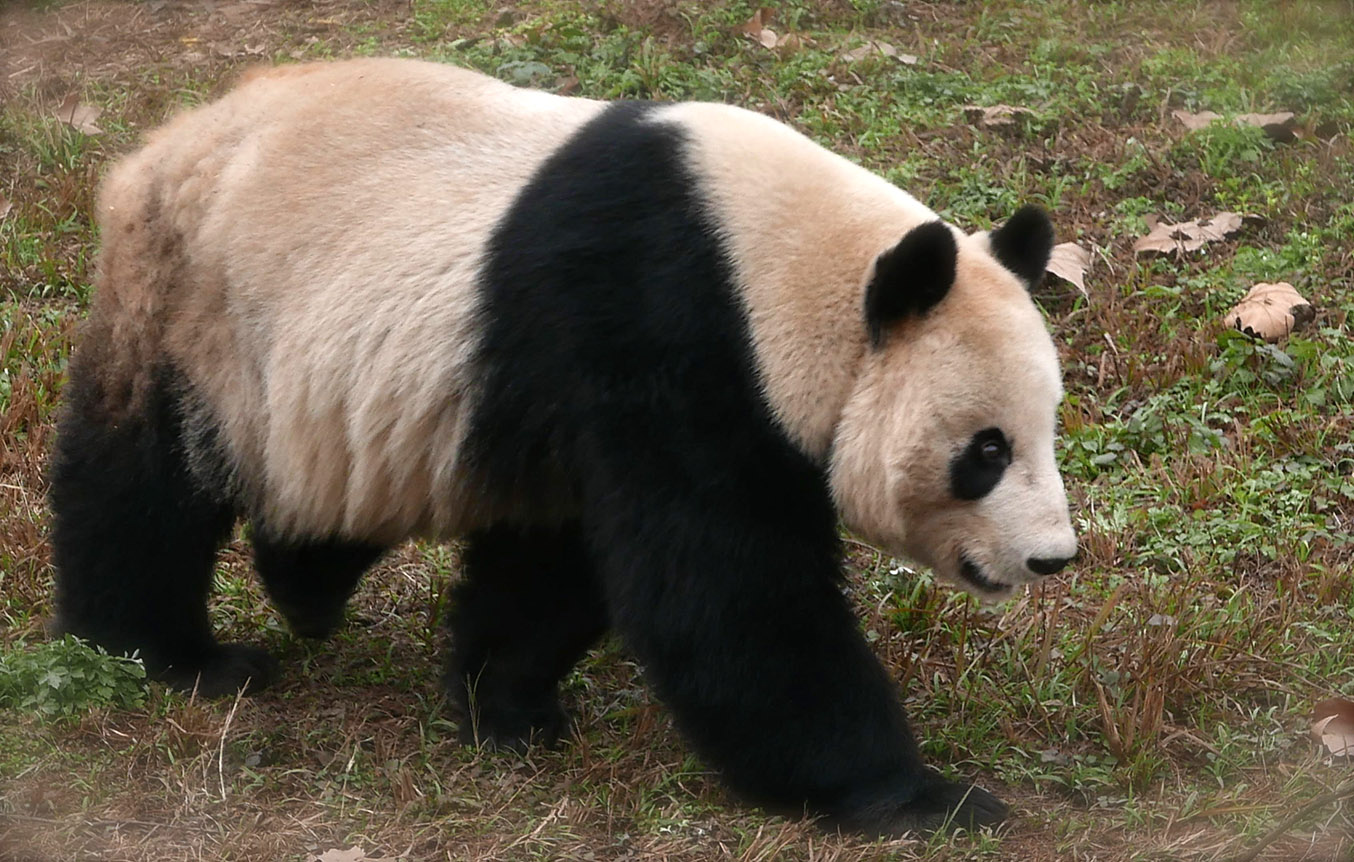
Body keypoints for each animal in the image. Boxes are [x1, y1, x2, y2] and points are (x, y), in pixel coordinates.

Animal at [49, 58, 1077, 835]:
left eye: (1047, 429)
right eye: (986, 451)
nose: (1051, 558)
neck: (784, 268)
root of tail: (158, 149)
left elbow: (563, 561)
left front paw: (507, 706)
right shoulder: (665, 330)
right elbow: (725, 591)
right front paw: (924, 799)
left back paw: (301, 584)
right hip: (199, 309)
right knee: (143, 486)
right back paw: (166, 655)